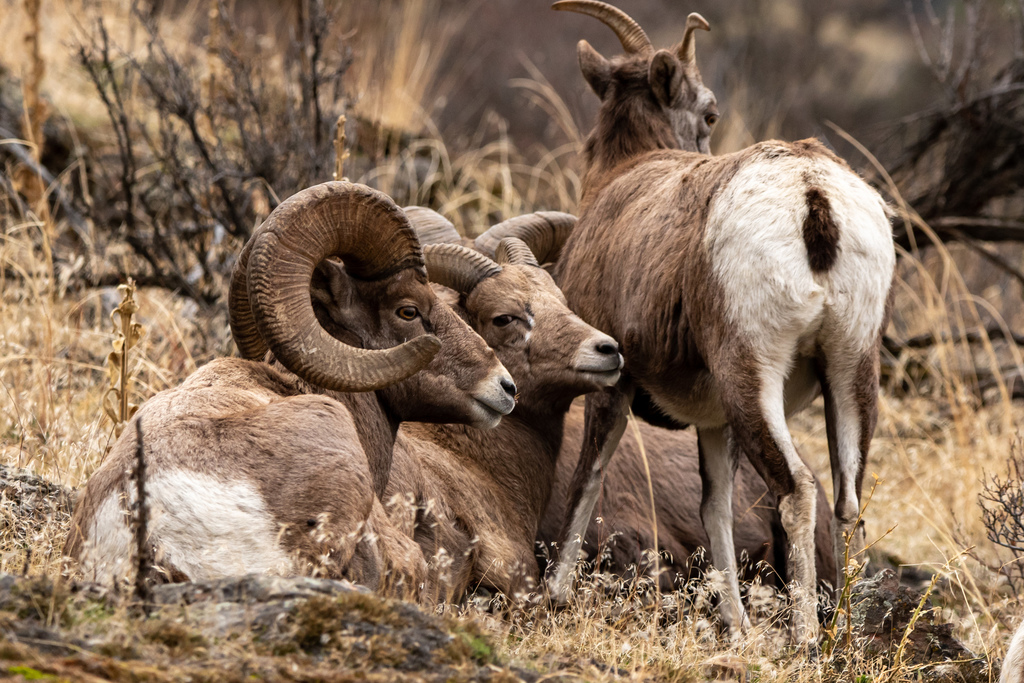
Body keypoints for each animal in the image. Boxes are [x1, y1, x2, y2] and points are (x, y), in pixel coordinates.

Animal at [545, 1, 896, 640]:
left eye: (711, 113)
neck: (622, 178)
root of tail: (811, 193)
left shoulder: (614, 384)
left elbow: (590, 475)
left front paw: (553, 595)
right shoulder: (714, 422)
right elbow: (716, 510)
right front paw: (736, 625)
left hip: (752, 379)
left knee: (797, 489)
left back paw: (805, 639)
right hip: (852, 369)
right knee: (847, 501)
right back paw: (839, 637)